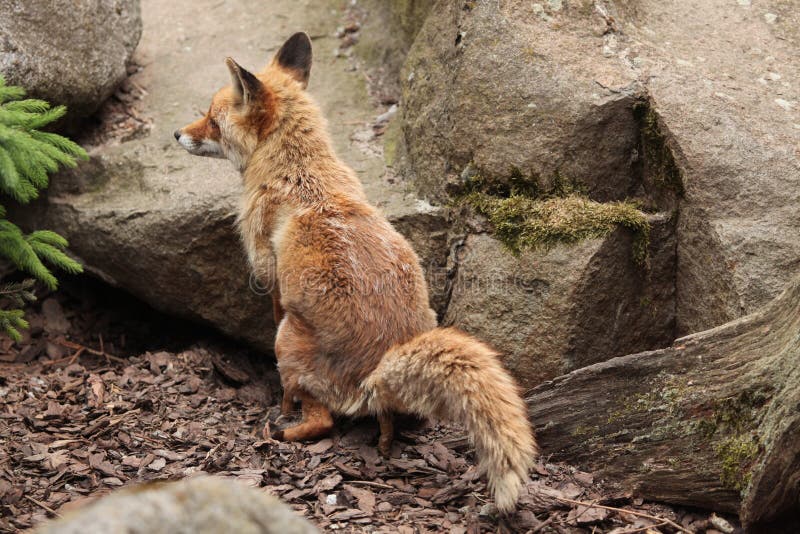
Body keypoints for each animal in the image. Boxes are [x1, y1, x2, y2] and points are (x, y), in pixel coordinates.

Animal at [174, 32, 537, 513]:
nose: (176, 133)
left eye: (212, 120)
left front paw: (280, 409)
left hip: (288, 341)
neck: (302, 173)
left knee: (321, 421)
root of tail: (376, 371)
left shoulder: (271, 279)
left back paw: (281, 427)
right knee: (383, 422)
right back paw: (384, 444)